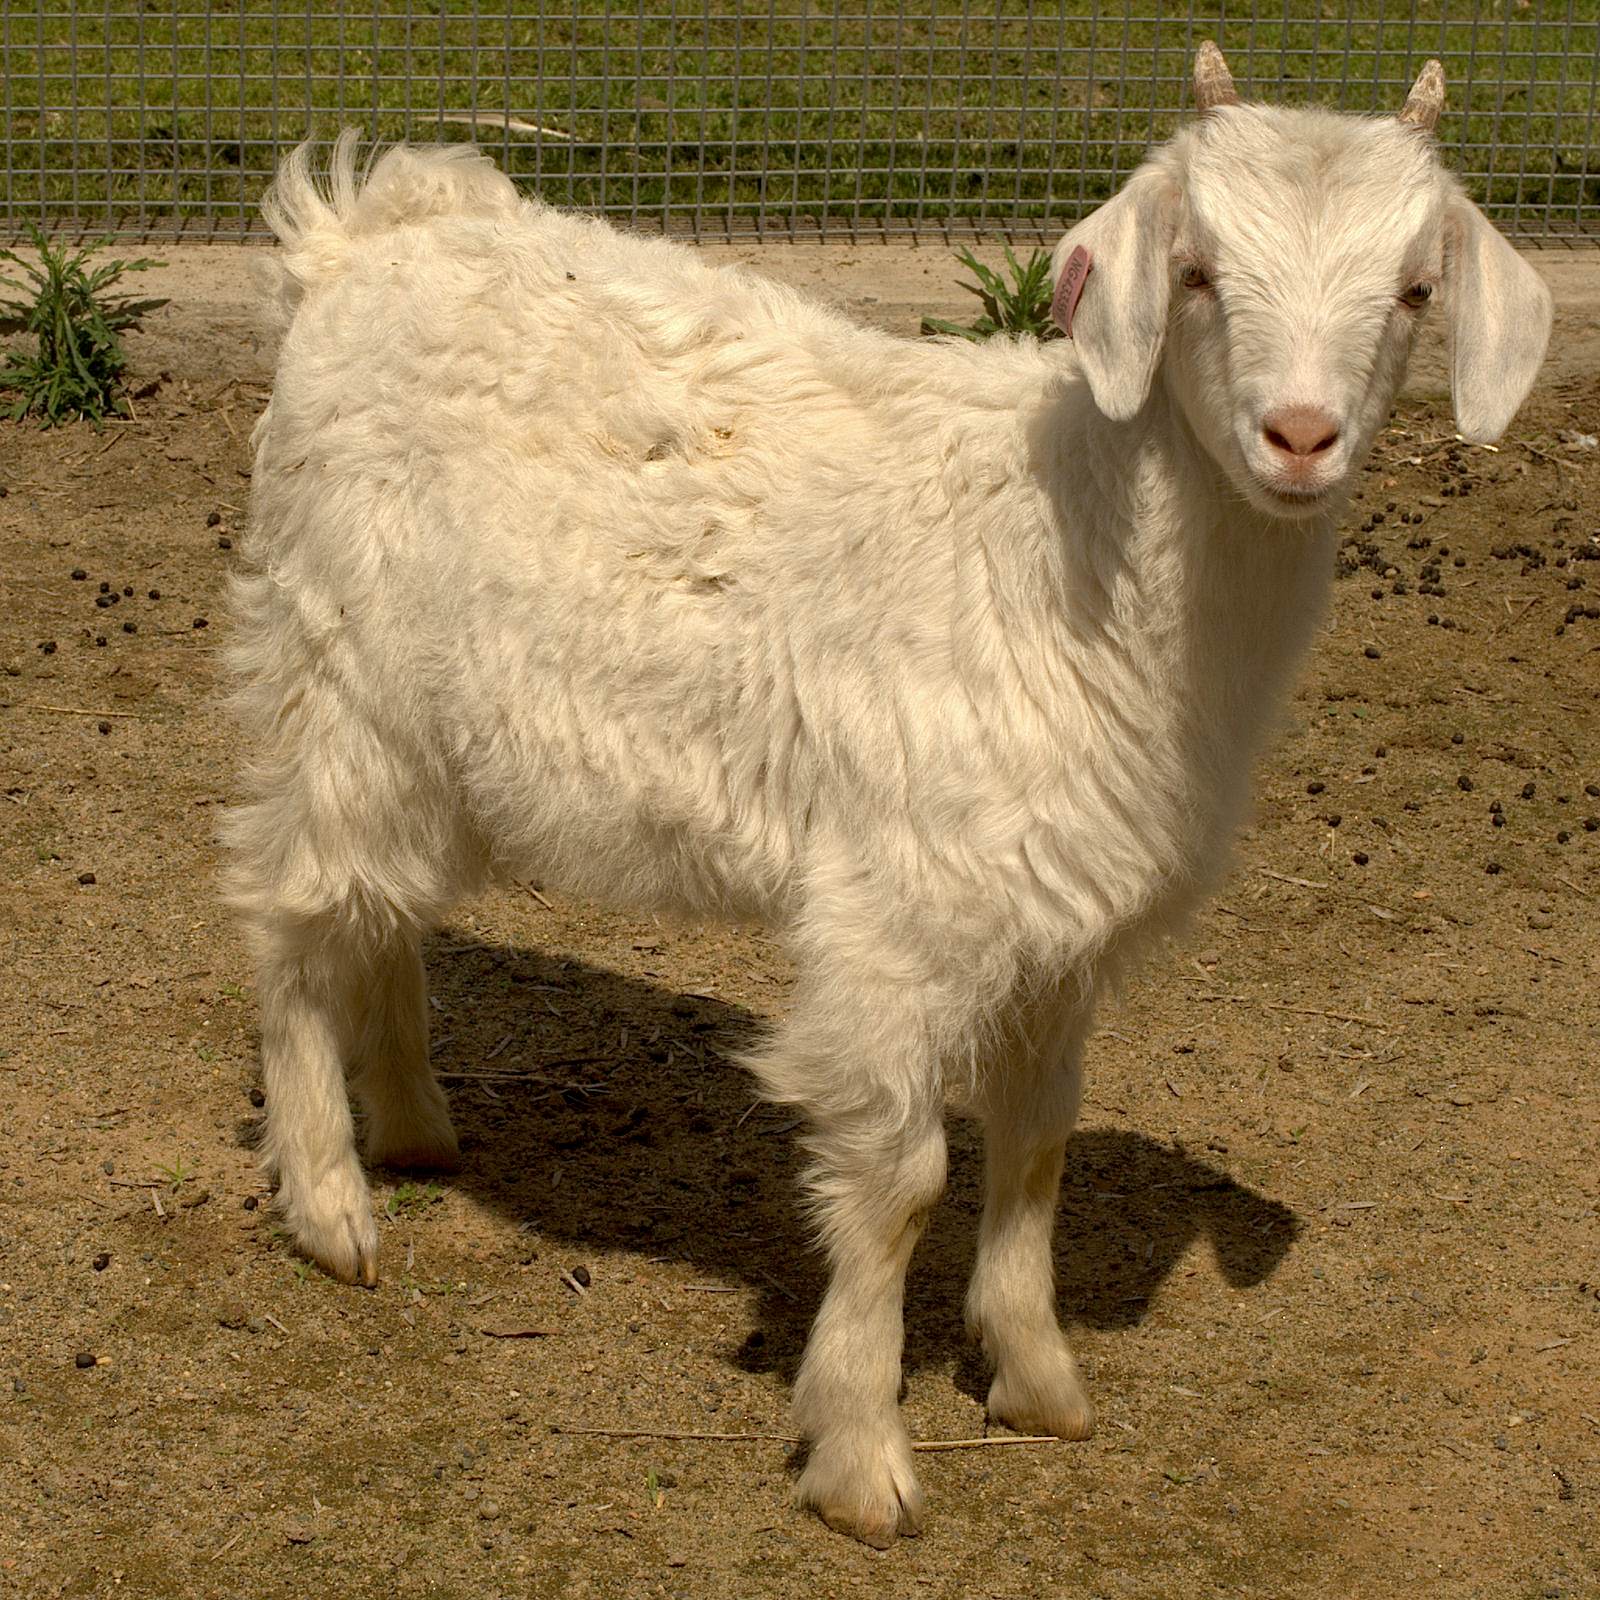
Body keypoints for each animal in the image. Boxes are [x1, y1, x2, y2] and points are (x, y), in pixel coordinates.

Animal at [225, 45, 1550, 1547]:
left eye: (1416, 289)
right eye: (1199, 272)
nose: (1301, 436)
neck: (1070, 540)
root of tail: (359, 240)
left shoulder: (1059, 919)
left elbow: (1037, 1141)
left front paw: (1035, 1376)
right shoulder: (899, 909)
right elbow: (903, 1180)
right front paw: (861, 1452)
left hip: (436, 727)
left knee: (381, 905)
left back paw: (414, 1125)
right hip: (334, 667)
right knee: (291, 911)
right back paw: (330, 1200)